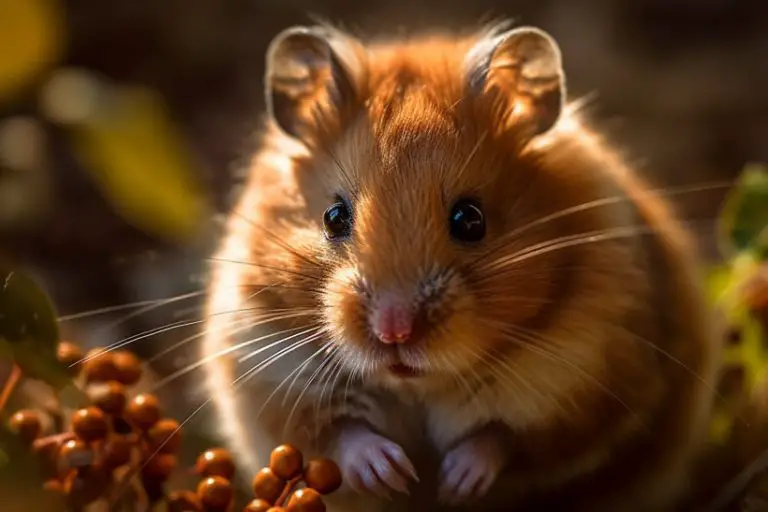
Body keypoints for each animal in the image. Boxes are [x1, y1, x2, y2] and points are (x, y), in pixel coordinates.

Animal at [200, 21, 722, 511]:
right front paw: (393, 472)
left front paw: (453, 484)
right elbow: (339, 432)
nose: (394, 332)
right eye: (333, 217)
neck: (417, 385)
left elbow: (502, 437)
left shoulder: (581, 379)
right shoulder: (266, 366)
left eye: (470, 220)